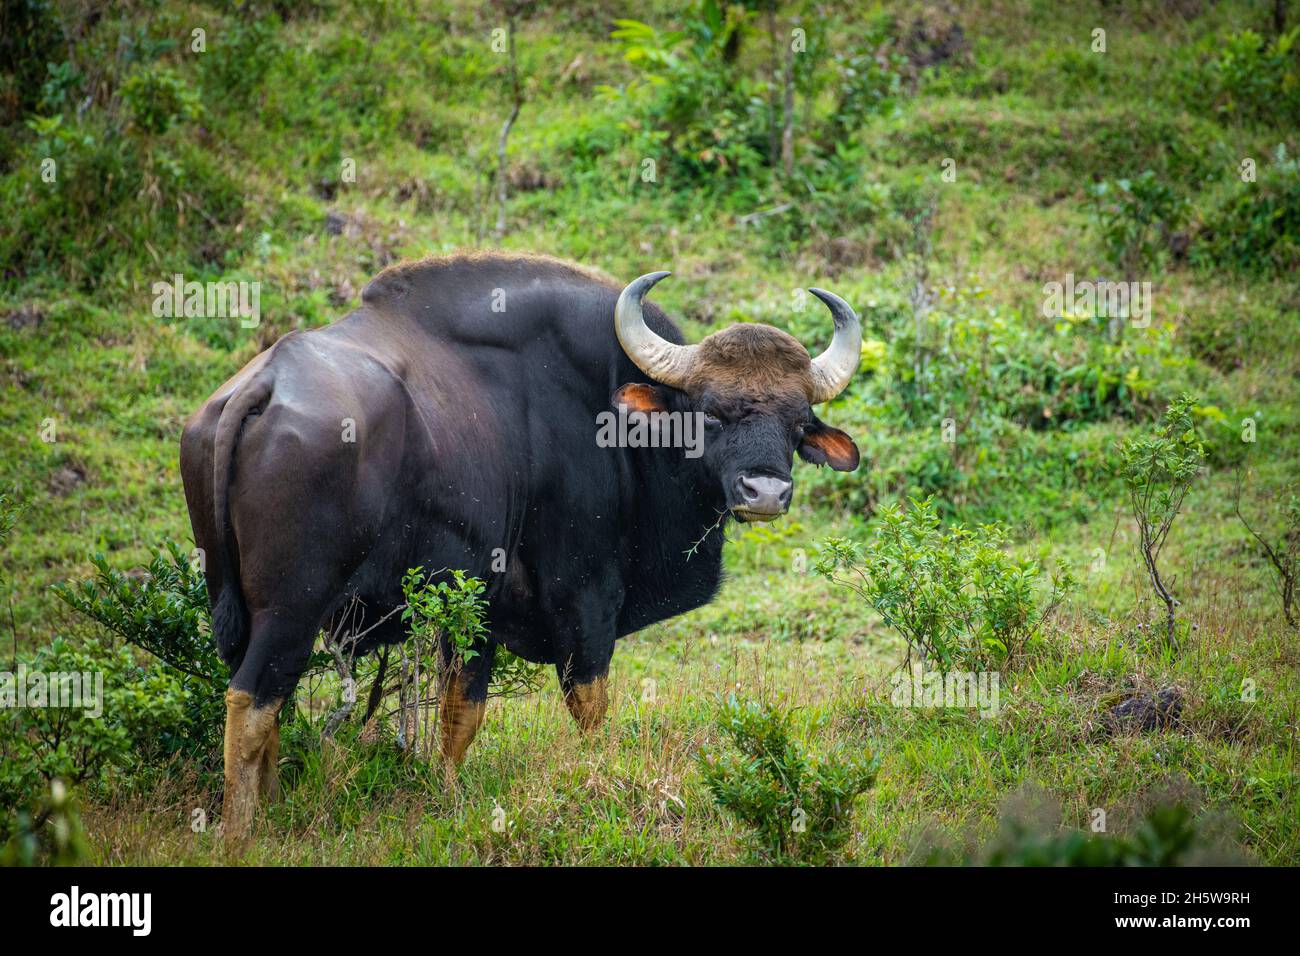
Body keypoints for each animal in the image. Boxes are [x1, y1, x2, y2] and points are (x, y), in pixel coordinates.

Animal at [180, 252, 862, 846]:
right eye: (712, 413)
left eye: (798, 422)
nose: (765, 491)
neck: (609, 415)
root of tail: (262, 387)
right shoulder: (584, 598)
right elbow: (587, 708)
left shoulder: (477, 610)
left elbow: (460, 715)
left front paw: (448, 796)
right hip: (292, 607)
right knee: (251, 698)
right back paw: (241, 832)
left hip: (234, 604)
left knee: (265, 697)